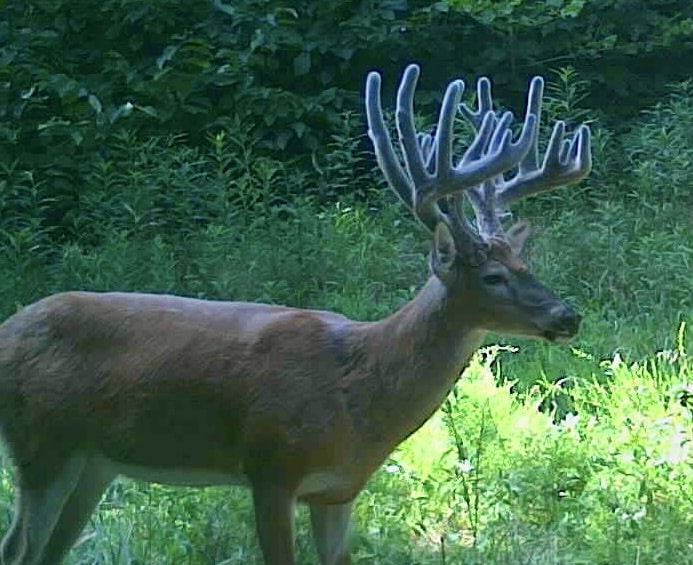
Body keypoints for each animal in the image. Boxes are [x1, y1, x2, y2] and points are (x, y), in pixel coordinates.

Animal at [0, 64, 591, 565]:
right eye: (492, 277)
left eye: (525, 263)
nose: (568, 316)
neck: (357, 391)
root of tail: (10, 328)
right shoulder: (270, 467)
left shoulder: (339, 490)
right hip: (41, 445)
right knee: (20, 548)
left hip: (93, 462)